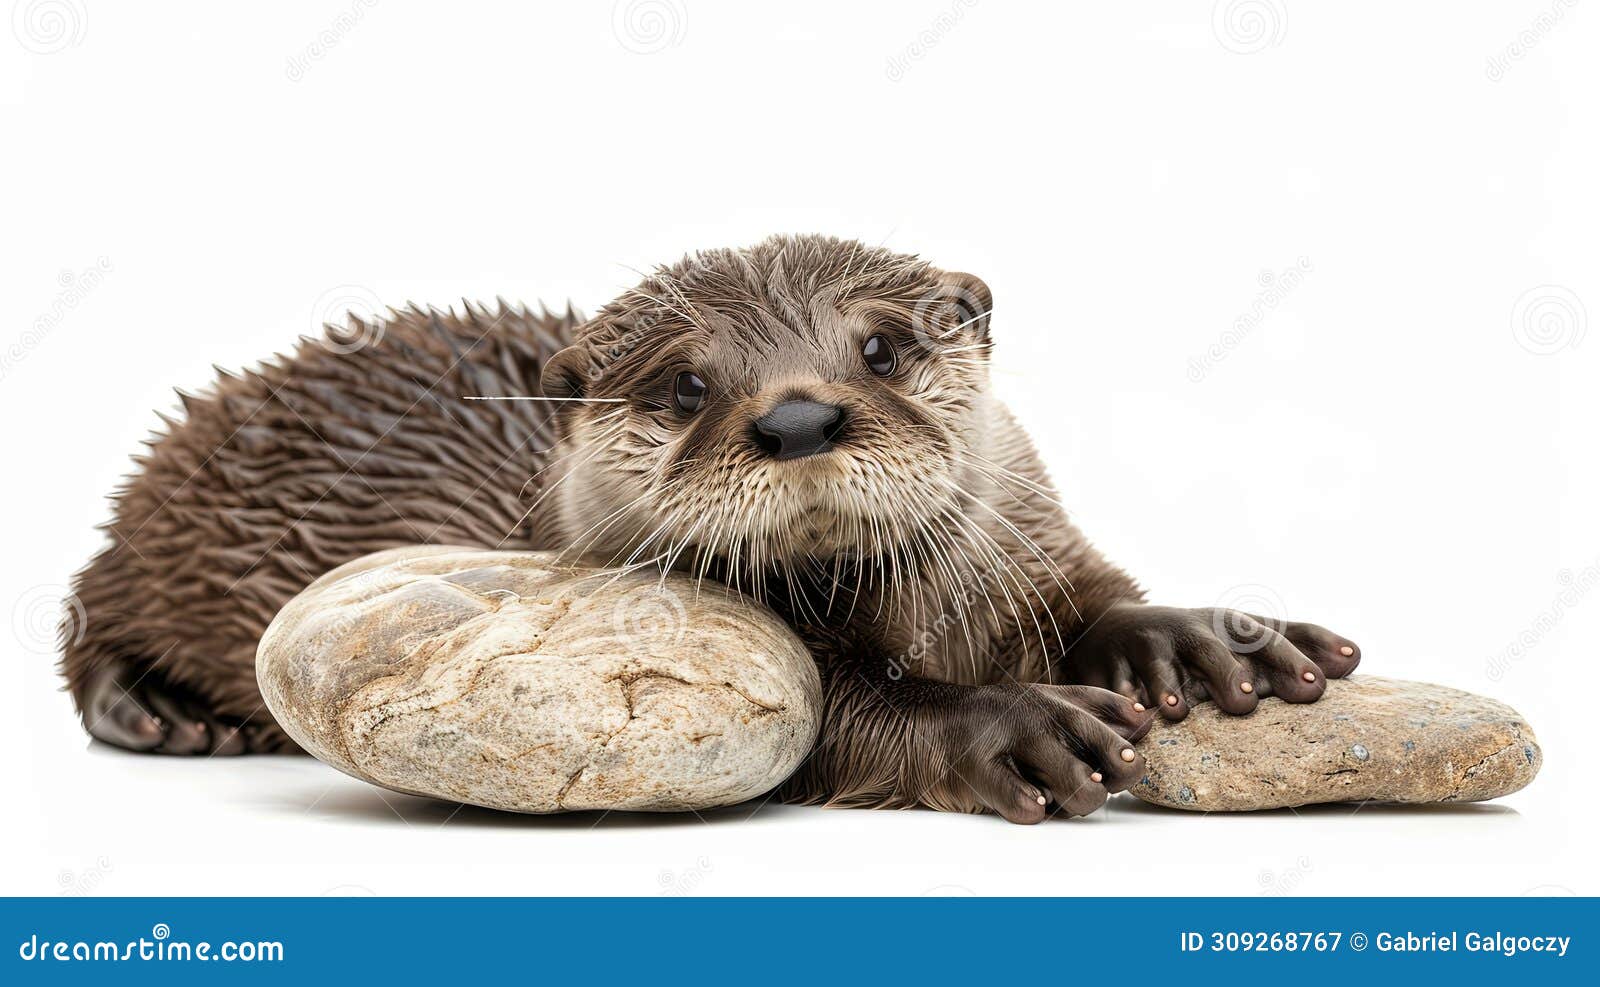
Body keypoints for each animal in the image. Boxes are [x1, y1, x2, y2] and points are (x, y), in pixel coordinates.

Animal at [60, 234, 1361, 822]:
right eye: (687, 387)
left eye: (879, 346)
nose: (795, 416)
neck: (924, 610)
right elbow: (848, 717)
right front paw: (1020, 724)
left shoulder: (1028, 544)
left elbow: (1094, 601)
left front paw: (1201, 640)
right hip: (161, 522)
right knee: (89, 620)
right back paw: (163, 714)